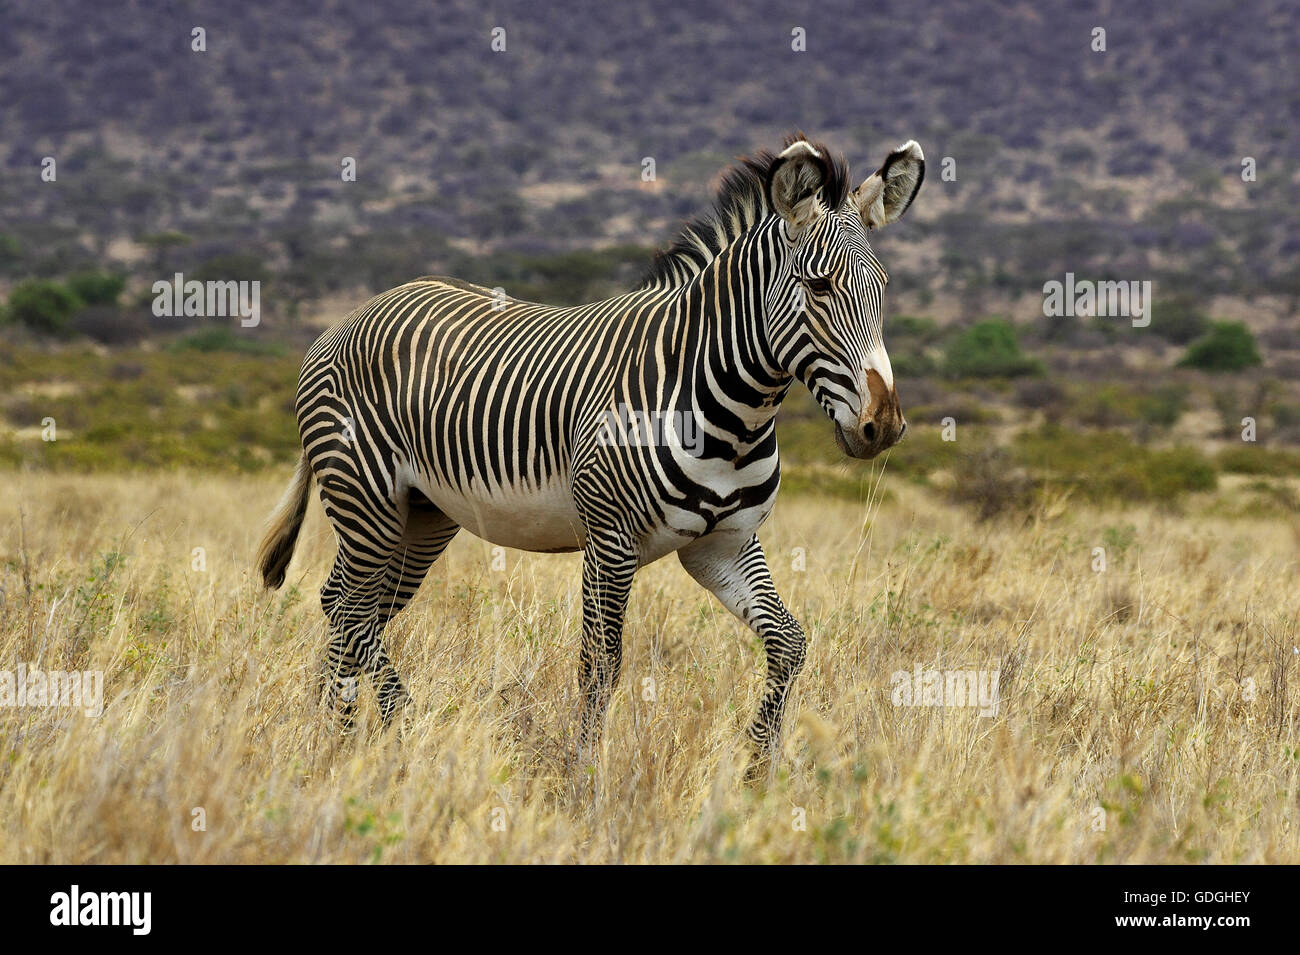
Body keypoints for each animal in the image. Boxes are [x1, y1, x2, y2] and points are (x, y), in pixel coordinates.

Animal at [257, 133, 924, 776]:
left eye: (884, 288)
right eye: (819, 285)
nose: (884, 427)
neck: (730, 412)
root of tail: (352, 315)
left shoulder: (724, 544)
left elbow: (789, 644)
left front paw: (757, 773)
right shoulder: (610, 539)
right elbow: (600, 665)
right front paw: (584, 778)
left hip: (422, 515)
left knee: (351, 609)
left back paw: (359, 735)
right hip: (365, 497)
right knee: (349, 611)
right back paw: (372, 735)